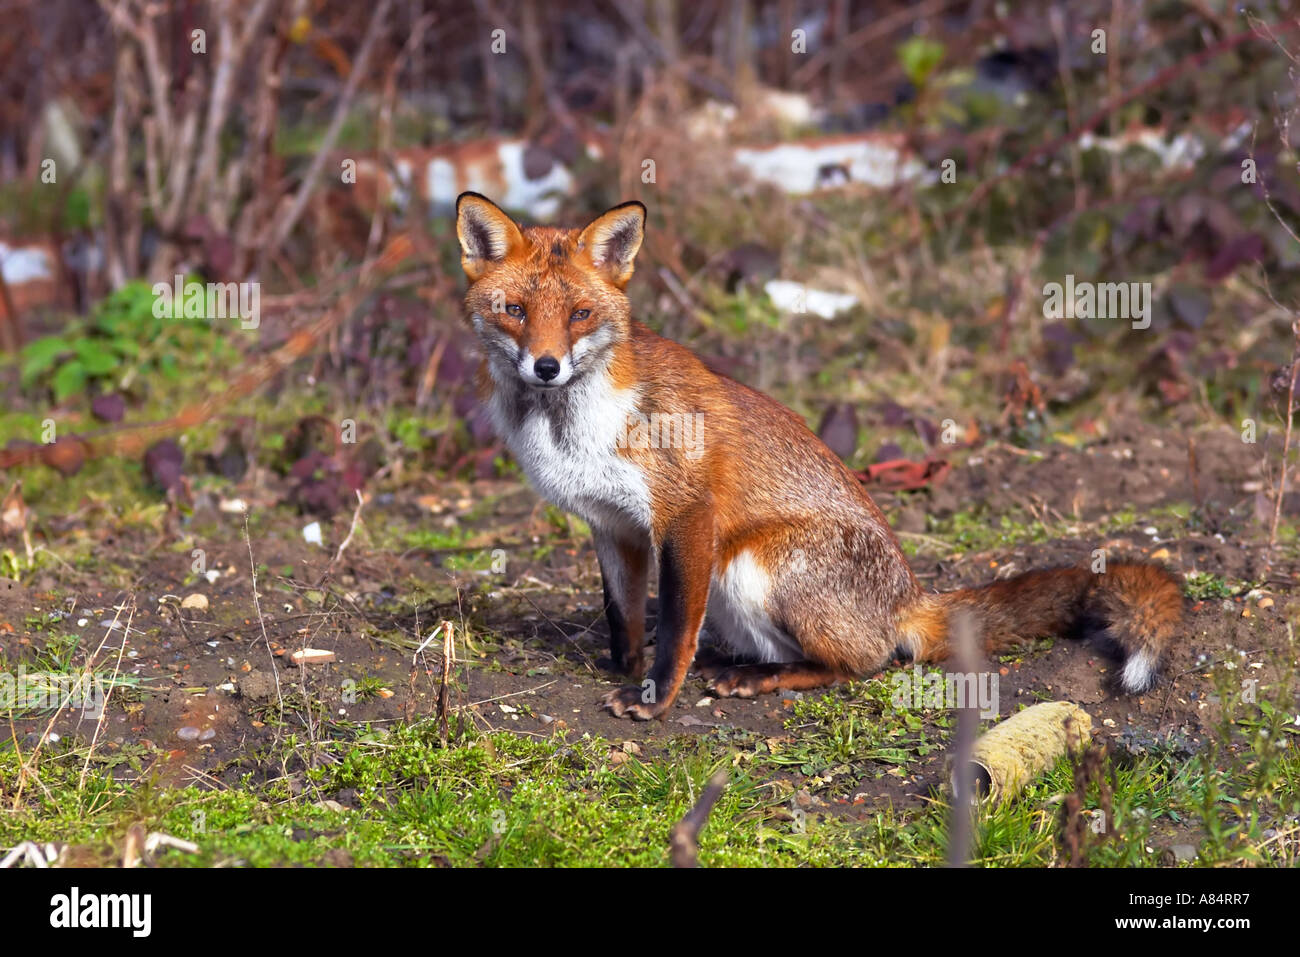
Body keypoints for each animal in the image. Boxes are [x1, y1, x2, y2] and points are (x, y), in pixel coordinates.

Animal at [455, 191, 1185, 720]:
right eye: (515, 309)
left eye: (579, 314)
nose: (546, 366)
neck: (567, 427)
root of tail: (909, 595)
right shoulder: (613, 524)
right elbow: (624, 616)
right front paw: (626, 669)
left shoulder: (685, 514)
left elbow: (676, 626)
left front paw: (655, 698)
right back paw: (742, 668)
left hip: (749, 565)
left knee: (865, 663)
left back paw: (762, 677)